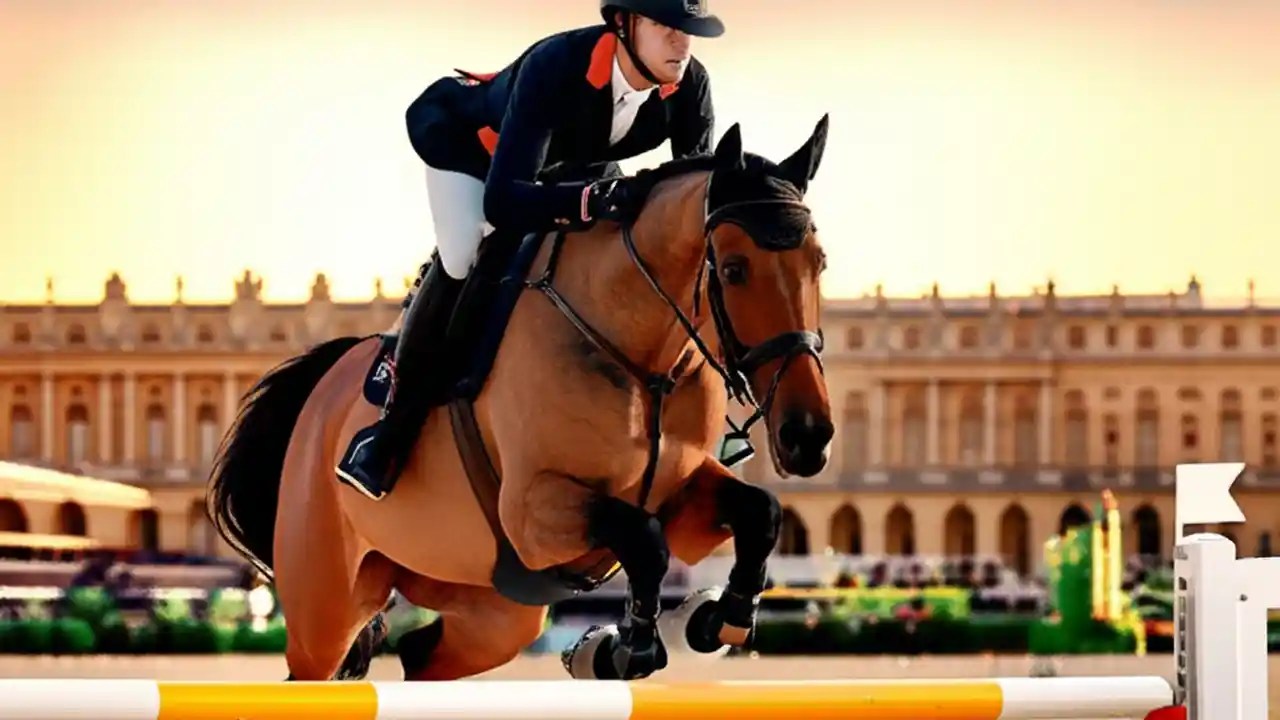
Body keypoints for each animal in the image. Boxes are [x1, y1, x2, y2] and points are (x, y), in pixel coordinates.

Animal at [206, 116, 835, 683]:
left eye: (819, 263)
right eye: (732, 268)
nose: (807, 437)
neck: (641, 361)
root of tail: (323, 386)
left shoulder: (681, 491)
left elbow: (760, 511)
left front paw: (717, 619)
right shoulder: (535, 511)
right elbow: (644, 541)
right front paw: (629, 644)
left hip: (491, 611)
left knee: (421, 656)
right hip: (328, 606)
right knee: (318, 665)